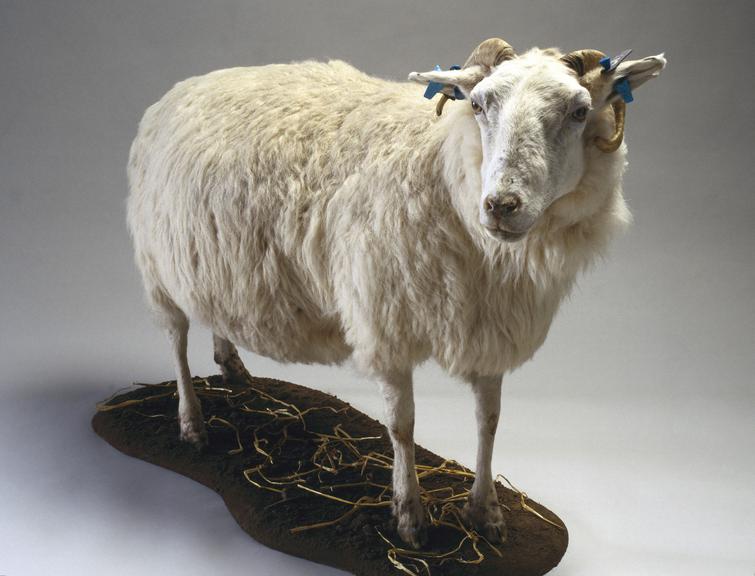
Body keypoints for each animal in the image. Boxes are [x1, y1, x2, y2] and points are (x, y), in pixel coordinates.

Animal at [126, 38, 666, 548]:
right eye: (479, 104)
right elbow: (402, 427)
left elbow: (489, 421)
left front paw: (486, 512)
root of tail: (183, 86)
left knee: (214, 311)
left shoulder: (489, 324)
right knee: (176, 340)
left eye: (579, 111)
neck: (447, 171)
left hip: (212, 258)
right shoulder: (384, 321)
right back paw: (192, 424)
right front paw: (410, 518)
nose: (501, 205)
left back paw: (233, 368)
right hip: (156, 262)